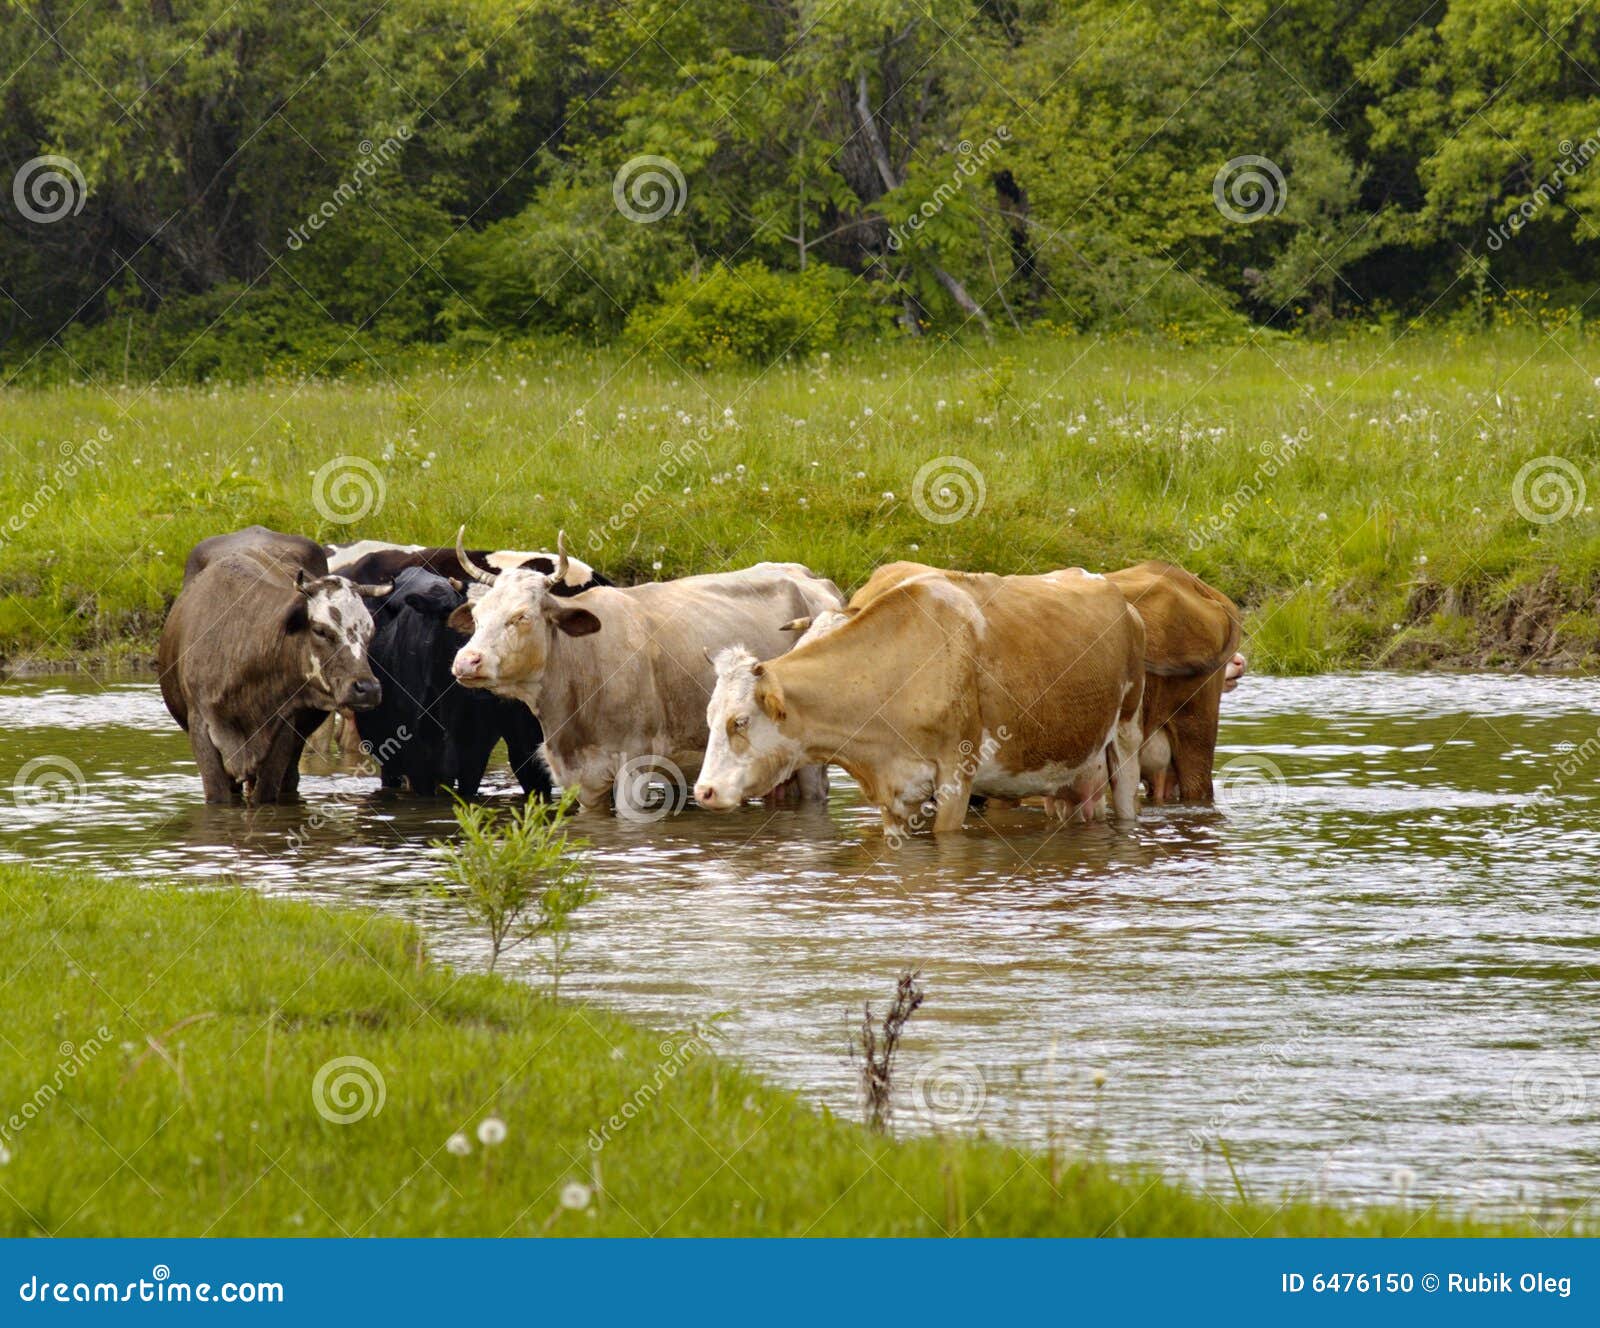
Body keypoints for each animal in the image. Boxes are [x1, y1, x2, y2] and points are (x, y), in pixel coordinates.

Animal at [448, 529, 843, 813]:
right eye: (478, 615)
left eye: (522, 617)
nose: (467, 661)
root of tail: (812, 580)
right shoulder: (583, 782)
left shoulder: (634, 768)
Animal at [693, 567, 1147, 836]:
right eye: (710, 719)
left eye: (740, 721)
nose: (704, 791)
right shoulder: (895, 792)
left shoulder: (955, 779)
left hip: (1126, 736)